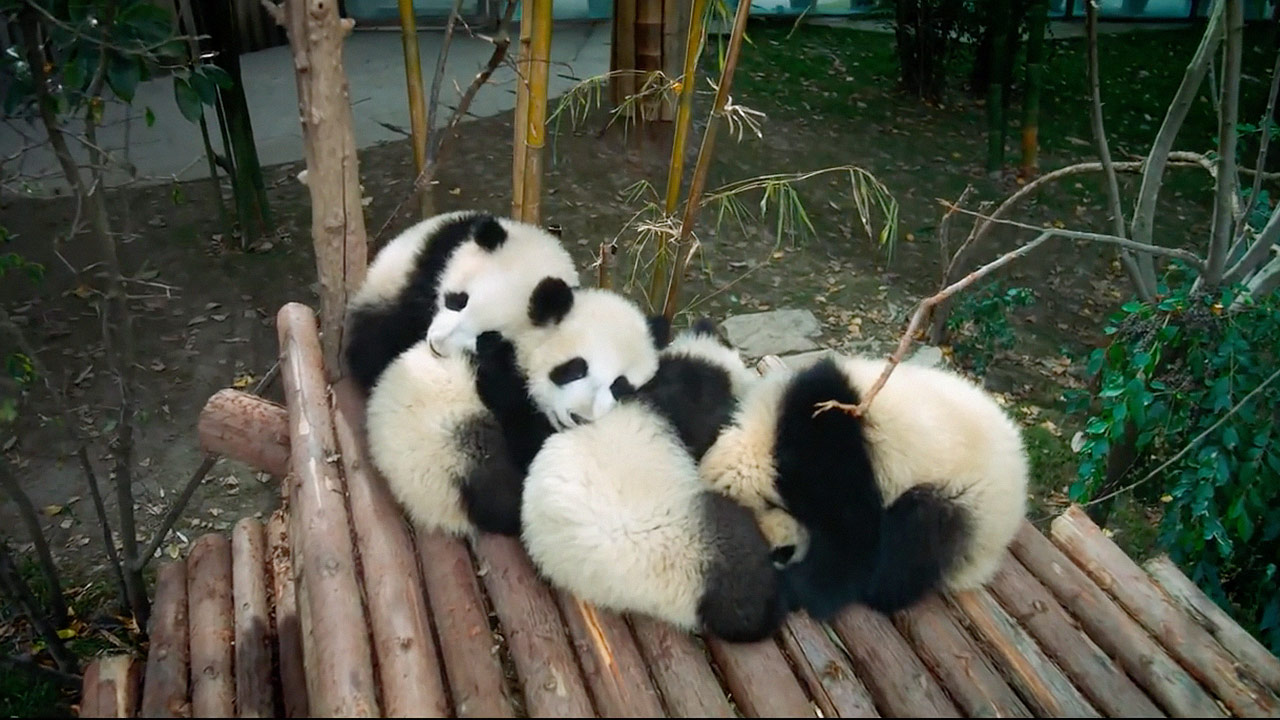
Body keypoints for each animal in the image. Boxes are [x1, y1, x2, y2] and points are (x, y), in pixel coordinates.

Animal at [698, 354, 1030, 621]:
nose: (784, 553)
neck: (763, 441)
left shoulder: (832, 453)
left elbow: (853, 541)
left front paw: (796, 587)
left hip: (967, 496)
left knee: (915, 532)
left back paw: (884, 590)